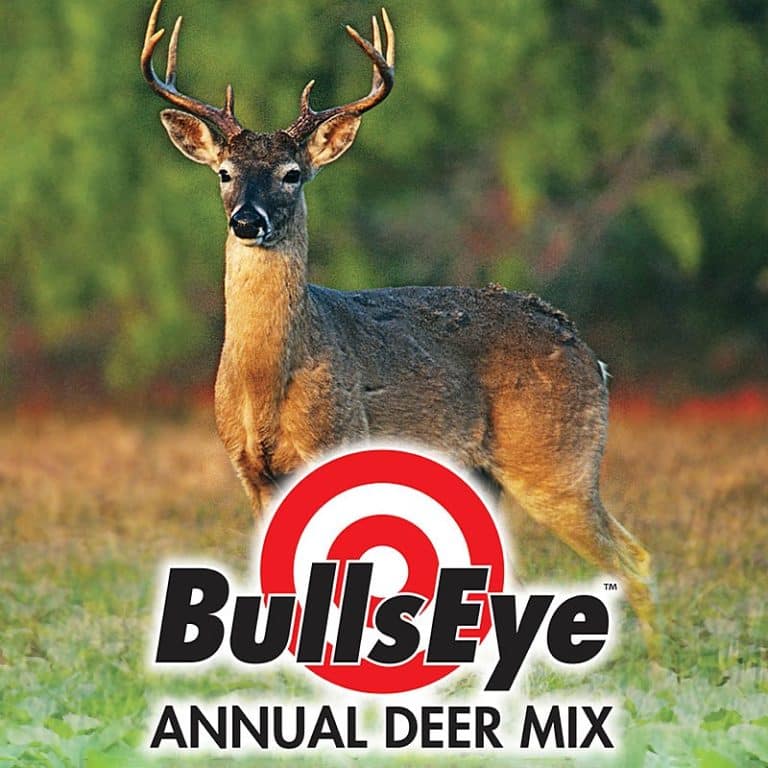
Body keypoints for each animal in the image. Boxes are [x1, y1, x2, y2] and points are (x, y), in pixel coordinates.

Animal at [141, 0, 657, 654]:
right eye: (225, 172)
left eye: (292, 174)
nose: (247, 221)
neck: (265, 382)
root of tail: (592, 354)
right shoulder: (250, 471)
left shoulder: (336, 441)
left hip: (557, 456)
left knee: (631, 557)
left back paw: (658, 664)